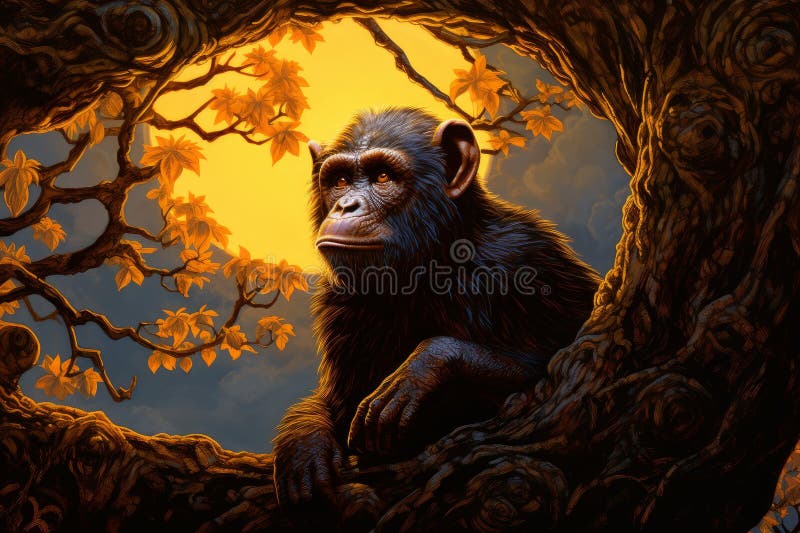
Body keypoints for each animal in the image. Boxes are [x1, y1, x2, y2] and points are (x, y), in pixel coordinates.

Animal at [272, 107, 600, 506]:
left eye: (382, 176)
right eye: (340, 180)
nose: (346, 204)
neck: (427, 263)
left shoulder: (532, 260)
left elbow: (561, 365)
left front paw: (423, 368)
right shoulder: (337, 307)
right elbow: (335, 406)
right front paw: (304, 439)